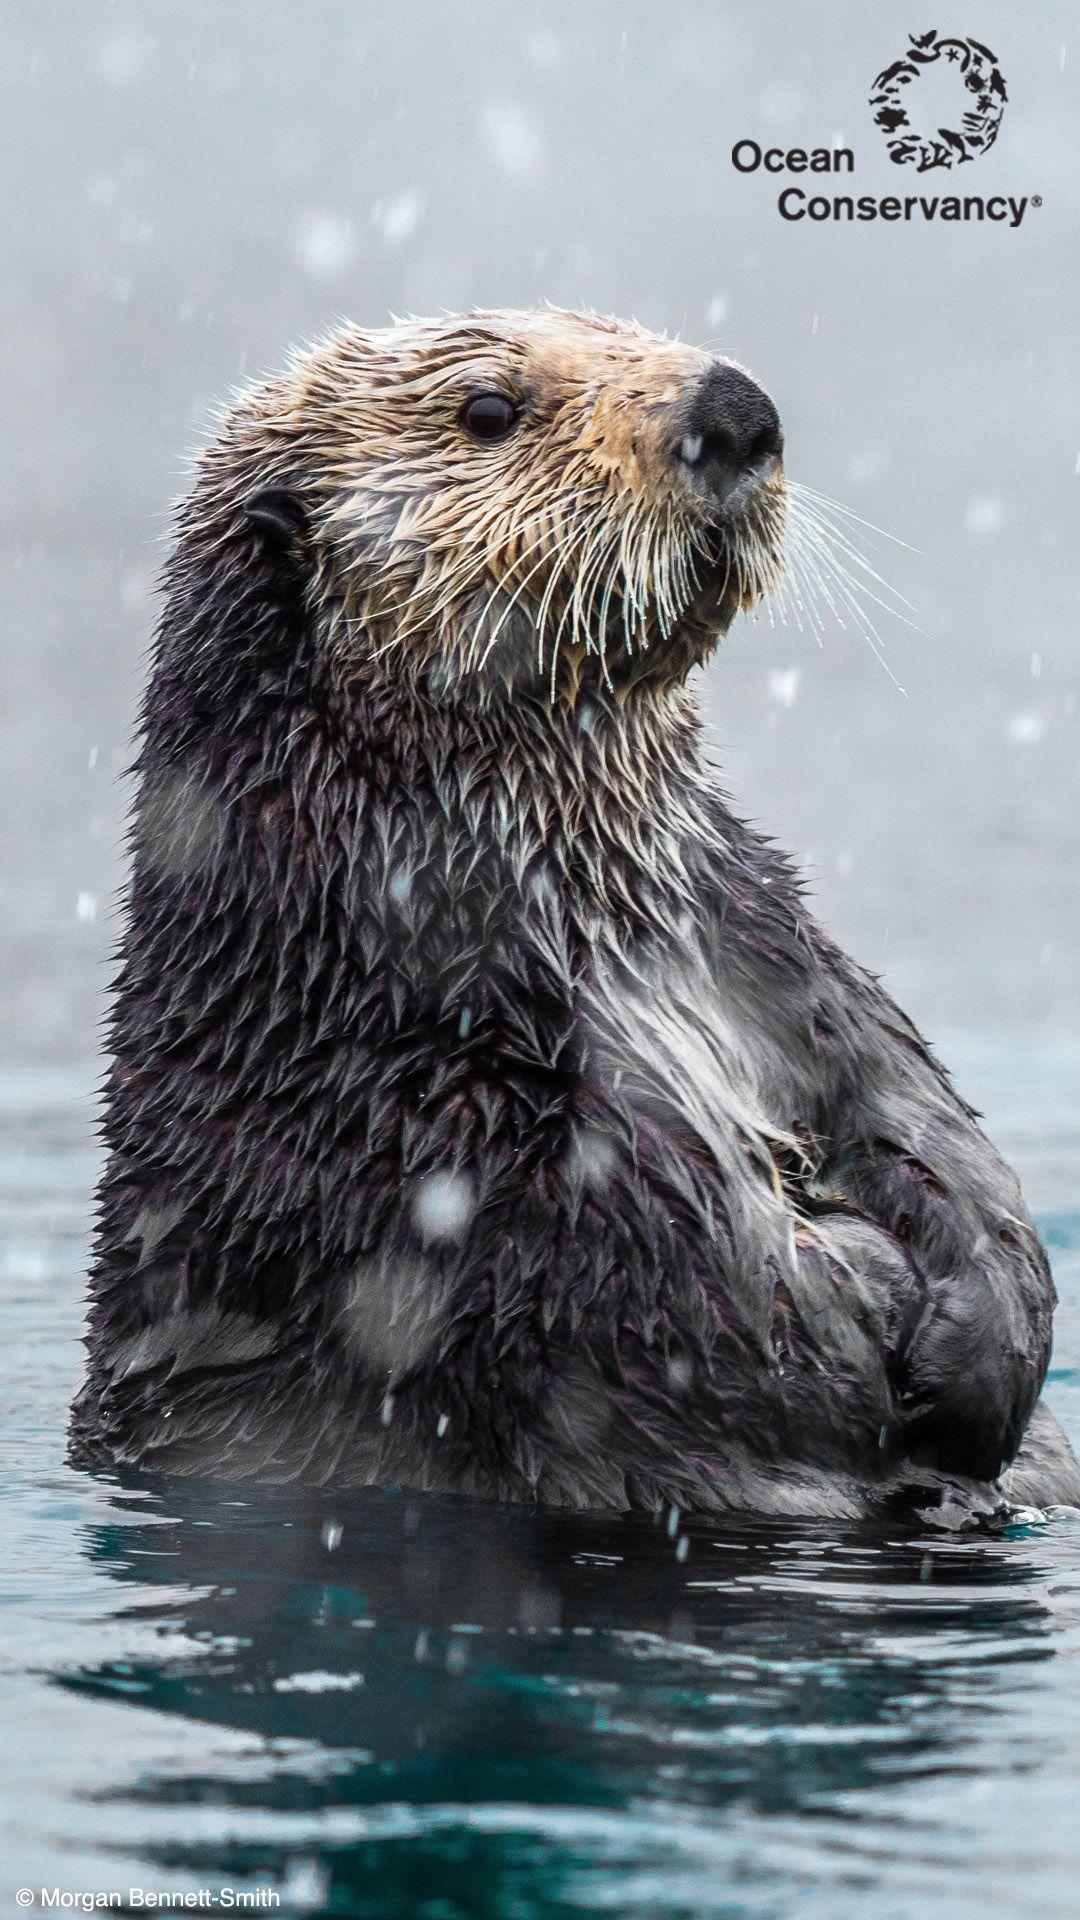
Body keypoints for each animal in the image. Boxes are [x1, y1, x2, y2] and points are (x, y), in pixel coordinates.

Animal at [70, 308, 1079, 1519]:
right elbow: (705, 1315)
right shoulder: (471, 1137)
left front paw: (979, 1333)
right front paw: (869, 1293)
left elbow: (932, 1130)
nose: (734, 411)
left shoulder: (780, 960)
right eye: (489, 409)